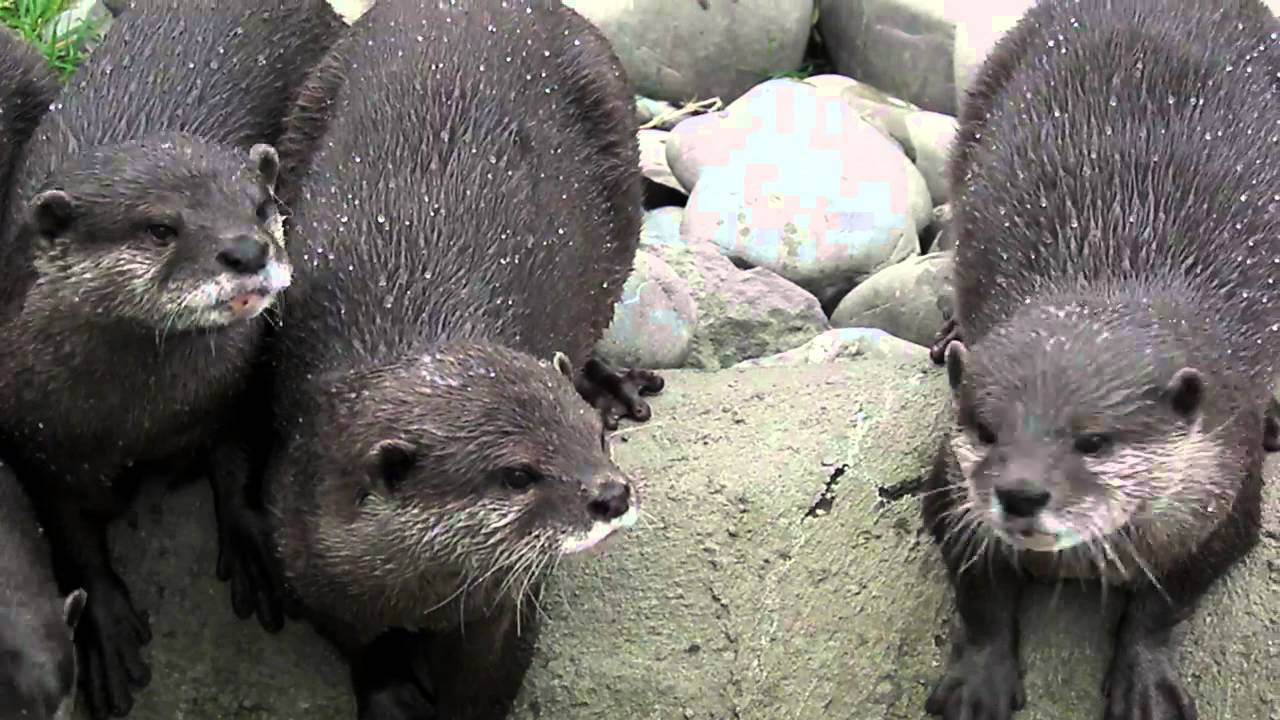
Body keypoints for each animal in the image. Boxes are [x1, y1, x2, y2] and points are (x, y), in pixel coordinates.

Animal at [265, 1, 656, 716]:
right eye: (518, 474)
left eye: (593, 440)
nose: (611, 493)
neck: (417, 595)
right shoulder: (302, 547)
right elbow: (357, 642)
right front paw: (390, 690)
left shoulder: (509, 605)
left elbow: (487, 680)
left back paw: (613, 384)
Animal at [918, 1, 1280, 719]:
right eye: (986, 432)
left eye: (1094, 441)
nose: (1021, 492)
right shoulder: (947, 480)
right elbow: (976, 582)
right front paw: (980, 677)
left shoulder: (1229, 490)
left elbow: (1167, 600)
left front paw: (1146, 679)